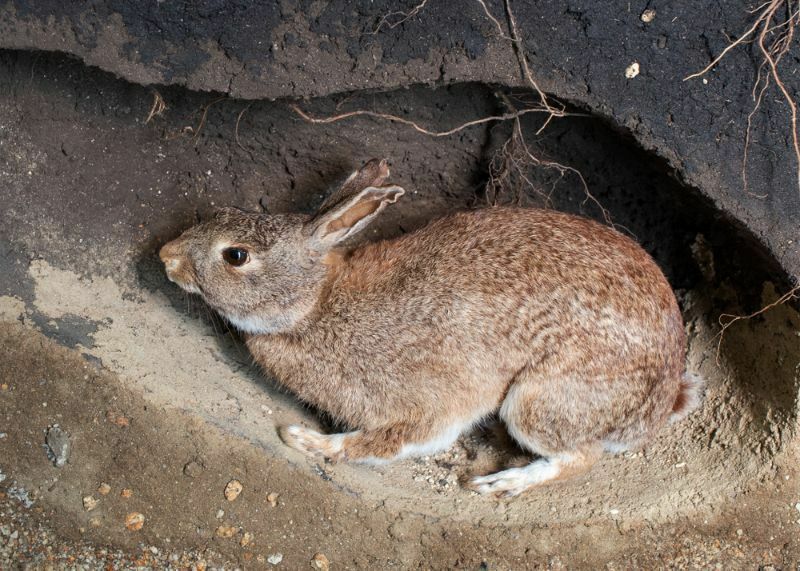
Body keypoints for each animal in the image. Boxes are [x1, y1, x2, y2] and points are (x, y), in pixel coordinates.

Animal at [159, 158, 704, 496]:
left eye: (235, 256)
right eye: (224, 213)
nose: (166, 257)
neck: (315, 306)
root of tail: (661, 401)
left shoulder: (427, 406)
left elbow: (389, 442)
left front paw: (308, 441)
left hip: (540, 400)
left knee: (580, 456)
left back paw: (502, 483)